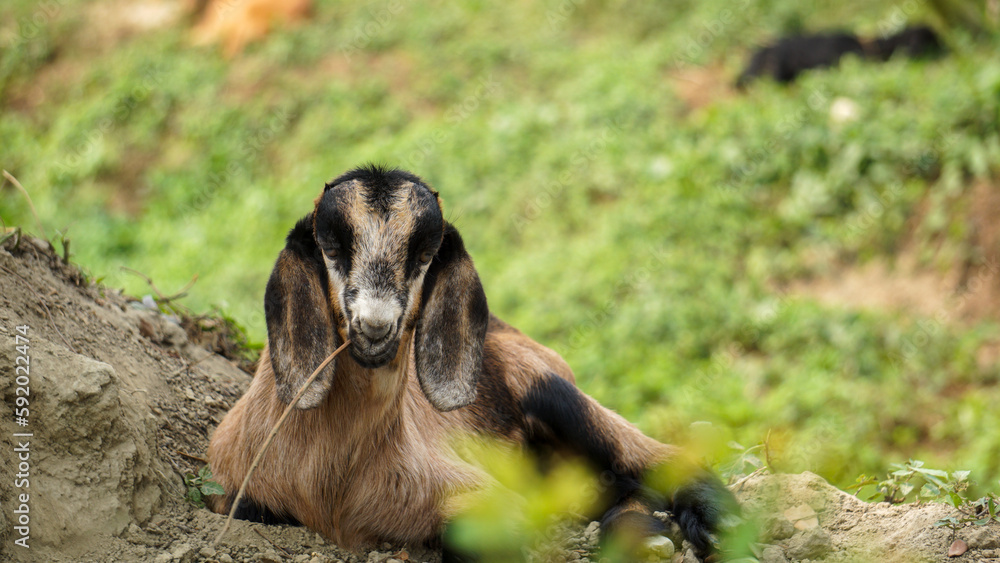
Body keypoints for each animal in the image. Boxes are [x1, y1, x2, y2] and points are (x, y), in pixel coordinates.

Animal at [206, 165, 736, 560]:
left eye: (425, 254)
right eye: (330, 247)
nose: (375, 326)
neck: (335, 483)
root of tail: (502, 325)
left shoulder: (481, 494)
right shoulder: (235, 494)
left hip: (554, 391)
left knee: (660, 458)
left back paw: (715, 525)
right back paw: (646, 534)